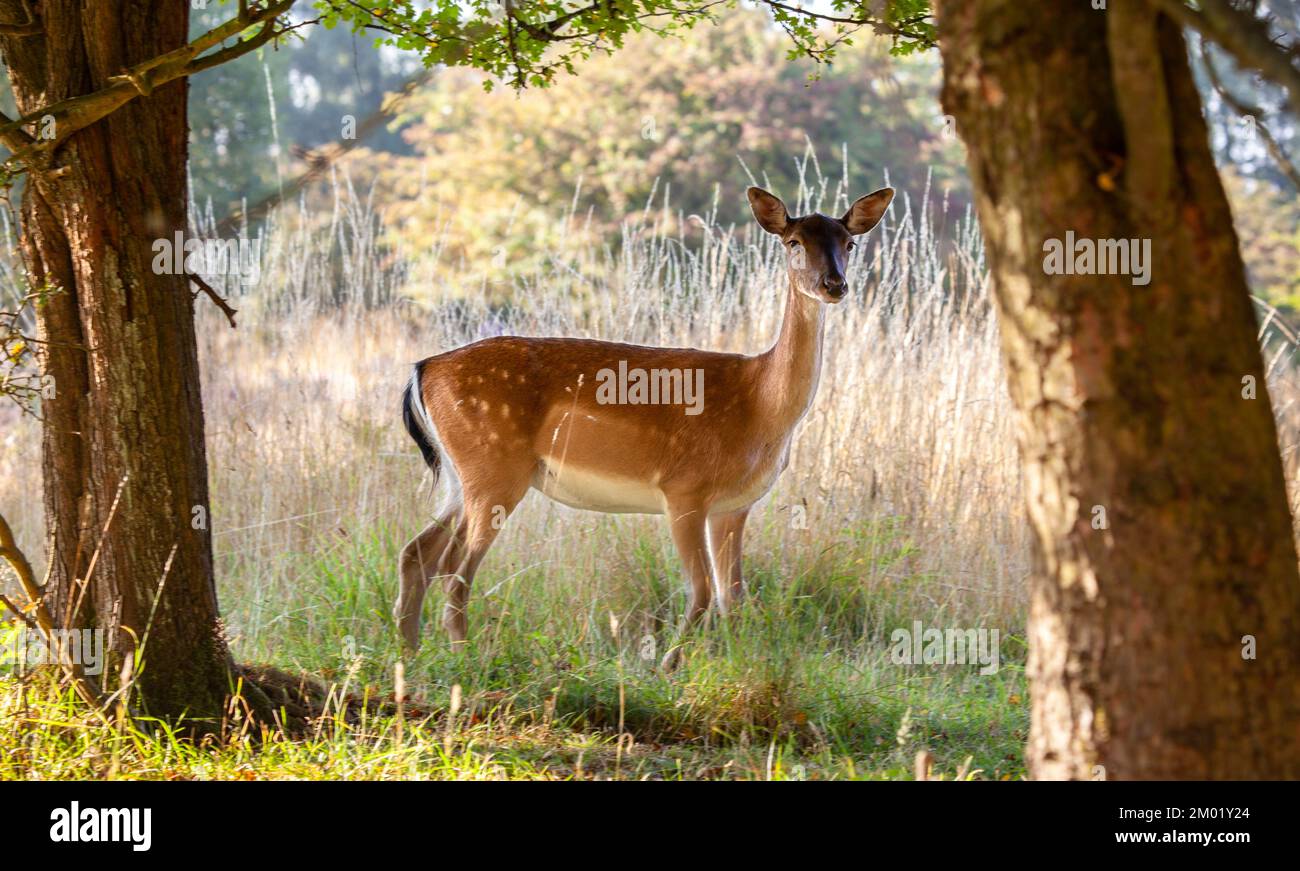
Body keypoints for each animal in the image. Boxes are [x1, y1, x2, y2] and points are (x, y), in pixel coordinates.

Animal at [395, 185, 894, 667]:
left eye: (849, 243)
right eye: (793, 242)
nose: (834, 284)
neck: (761, 406)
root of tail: (423, 369)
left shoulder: (734, 506)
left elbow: (734, 597)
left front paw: (739, 672)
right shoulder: (684, 489)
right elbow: (702, 592)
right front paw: (668, 666)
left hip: (462, 477)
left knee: (416, 553)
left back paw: (411, 654)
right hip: (494, 467)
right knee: (455, 569)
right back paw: (465, 659)